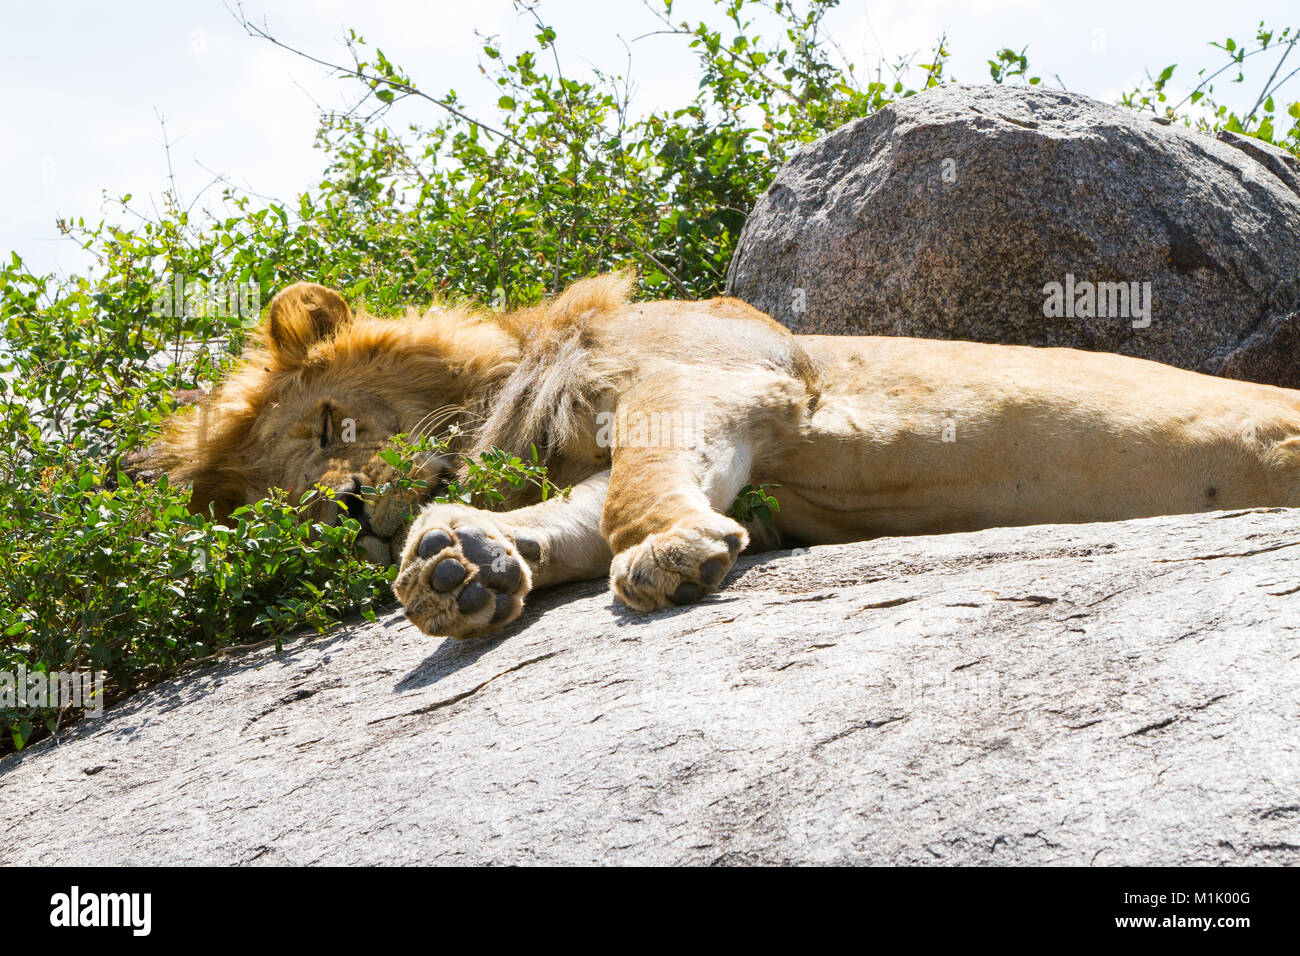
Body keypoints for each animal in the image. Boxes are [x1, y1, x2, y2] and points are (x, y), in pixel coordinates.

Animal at [156, 273, 1300, 638]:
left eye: (328, 425)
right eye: (278, 514)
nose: (343, 510)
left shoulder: (712, 378)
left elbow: (637, 495)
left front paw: (666, 555)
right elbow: (573, 516)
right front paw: (457, 568)